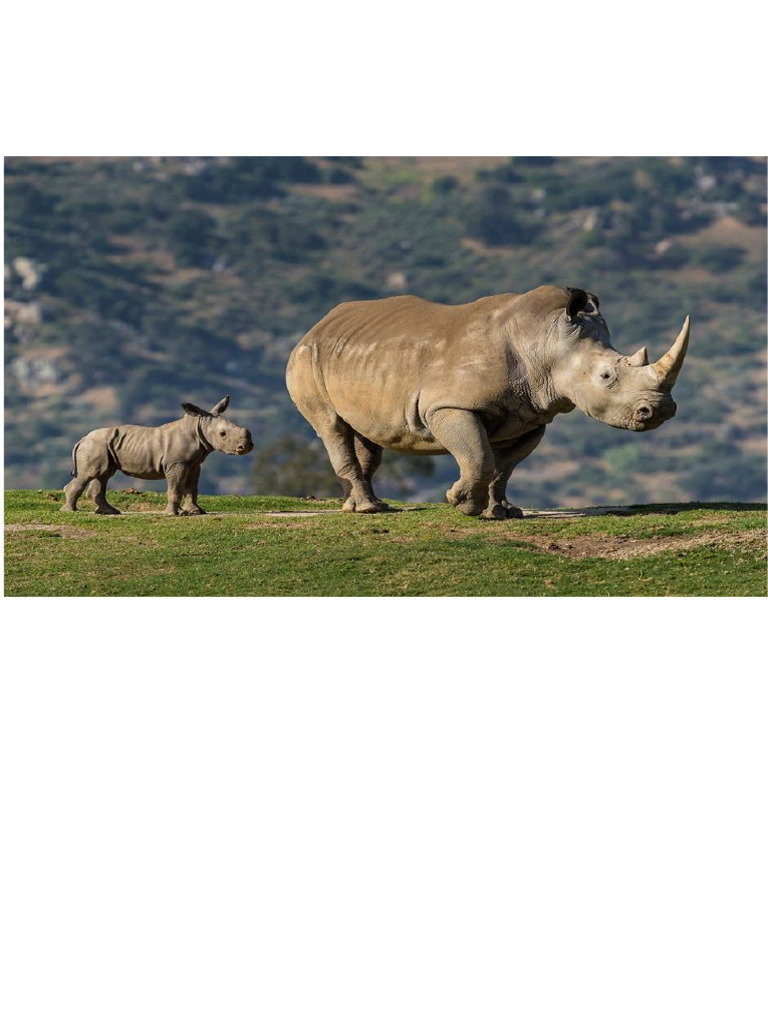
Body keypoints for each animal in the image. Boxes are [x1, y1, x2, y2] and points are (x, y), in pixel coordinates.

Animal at [62, 396, 253, 516]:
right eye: (222, 434)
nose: (247, 447)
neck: (197, 426)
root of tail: (81, 439)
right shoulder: (177, 463)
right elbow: (176, 487)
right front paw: (175, 514)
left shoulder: (194, 464)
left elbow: (192, 487)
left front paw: (196, 511)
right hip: (95, 446)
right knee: (89, 475)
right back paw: (70, 511)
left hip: (103, 447)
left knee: (103, 475)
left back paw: (110, 512)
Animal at [286, 285, 690, 517]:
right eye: (606, 377)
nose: (661, 411)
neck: (546, 339)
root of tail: (319, 324)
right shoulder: (448, 406)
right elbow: (479, 457)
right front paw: (461, 503)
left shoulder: (533, 416)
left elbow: (504, 467)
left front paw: (504, 513)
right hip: (306, 358)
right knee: (330, 426)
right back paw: (367, 510)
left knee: (368, 435)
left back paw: (371, 505)